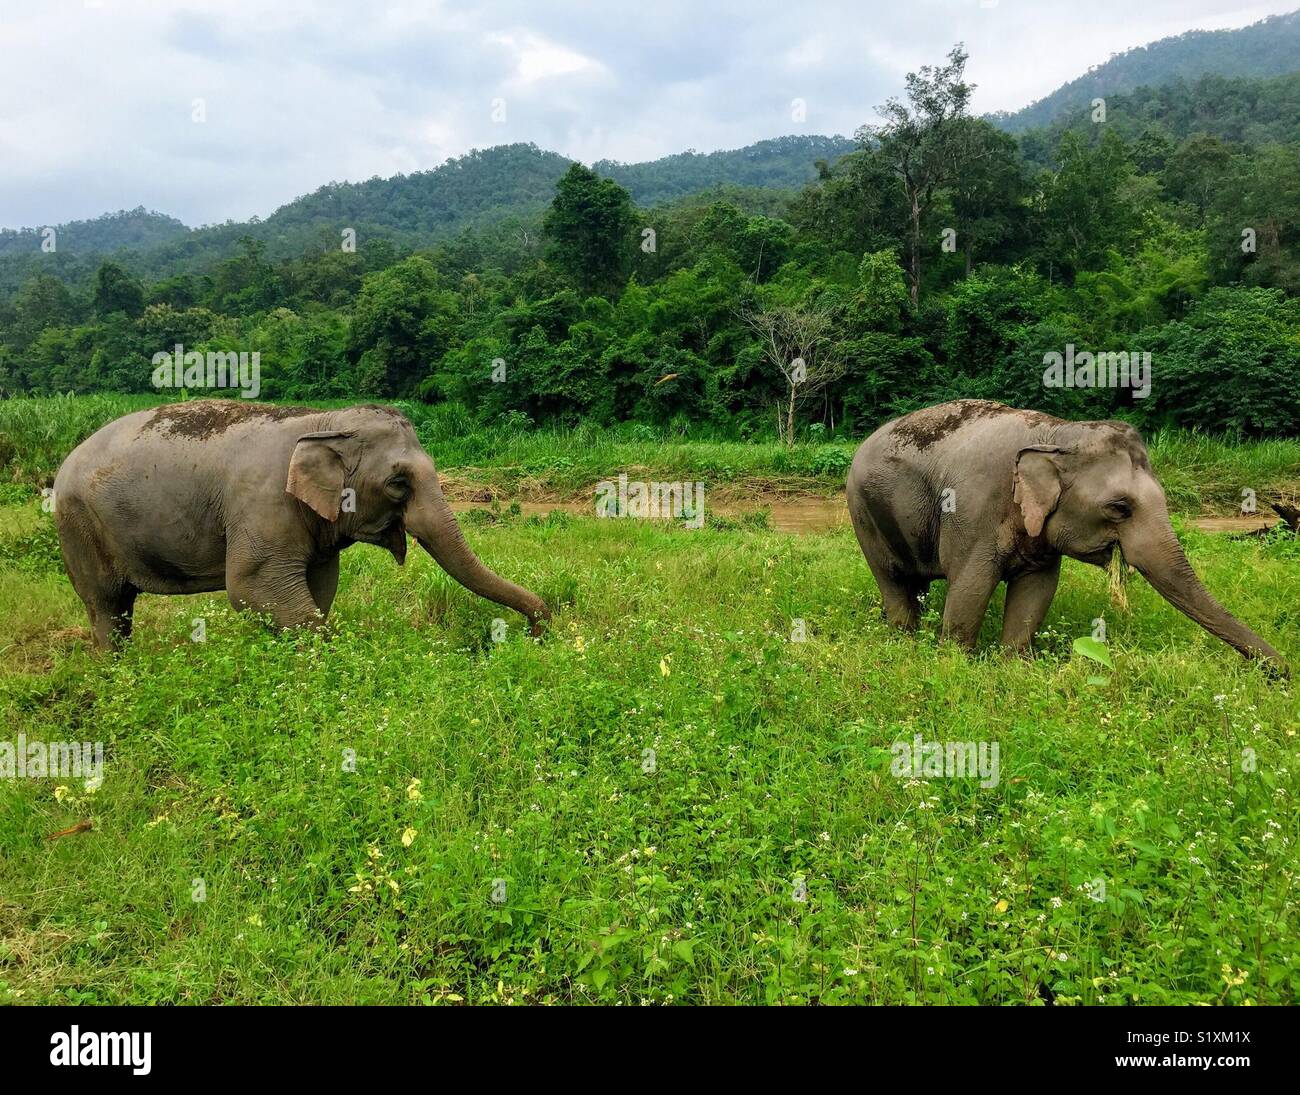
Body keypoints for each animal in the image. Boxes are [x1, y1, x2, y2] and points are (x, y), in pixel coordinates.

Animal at [53, 400, 549, 649]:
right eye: (398, 483)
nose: (533, 634)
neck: (324, 422)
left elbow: (319, 584)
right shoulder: (263, 503)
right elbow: (252, 587)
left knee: (119, 610)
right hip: (77, 526)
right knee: (106, 606)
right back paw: (117, 676)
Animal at [846, 399, 1286, 671]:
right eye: (1120, 508)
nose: (1281, 673)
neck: (1056, 435)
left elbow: (1036, 592)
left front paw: (1015, 667)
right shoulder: (973, 512)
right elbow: (970, 588)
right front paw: (956, 663)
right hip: (863, 512)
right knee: (892, 580)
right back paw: (904, 640)